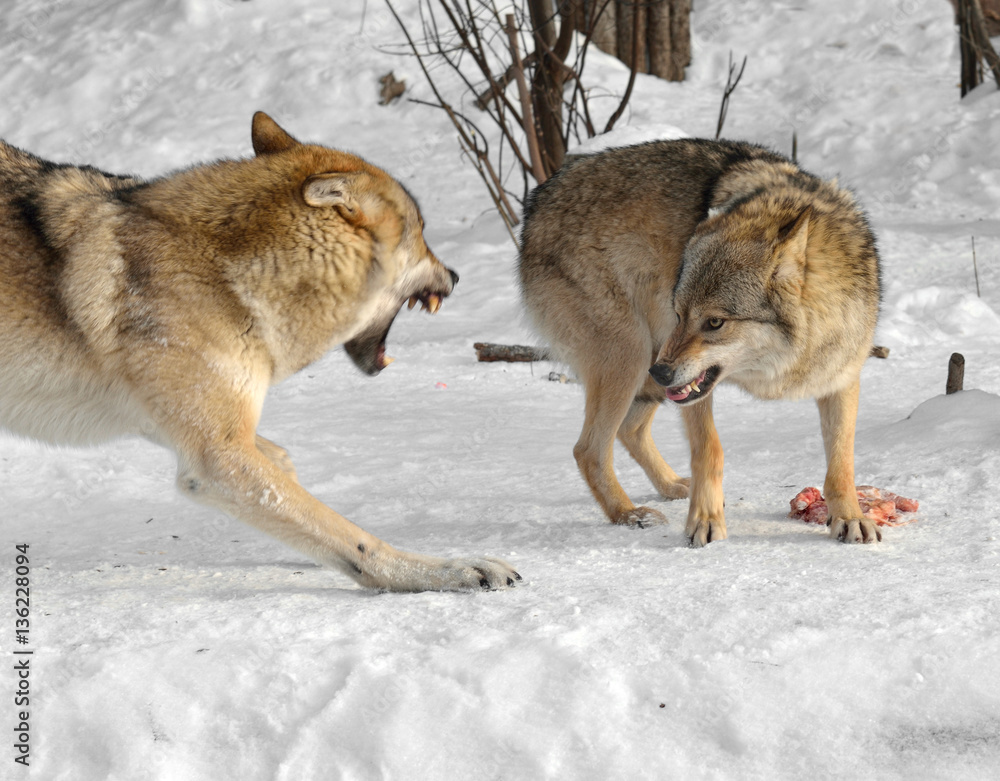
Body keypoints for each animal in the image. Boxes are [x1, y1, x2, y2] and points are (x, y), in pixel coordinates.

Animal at [0, 112, 520, 591]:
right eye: (421, 231)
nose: (455, 275)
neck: (229, 274)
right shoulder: (216, 456)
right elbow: (348, 533)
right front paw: (441, 571)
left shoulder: (171, 422)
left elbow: (288, 477)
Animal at [518, 139, 882, 545]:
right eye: (680, 314)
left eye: (714, 322)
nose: (661, 373)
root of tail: (538, 200)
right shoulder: (693, 390)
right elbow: (709, 450)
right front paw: (705, 521)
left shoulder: (841, 378)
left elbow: (841, 462)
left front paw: (849, 517)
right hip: (632, 355)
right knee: (588, 450)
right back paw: (629, 514)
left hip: (643, 370)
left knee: (628, 431)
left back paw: (673, 486)